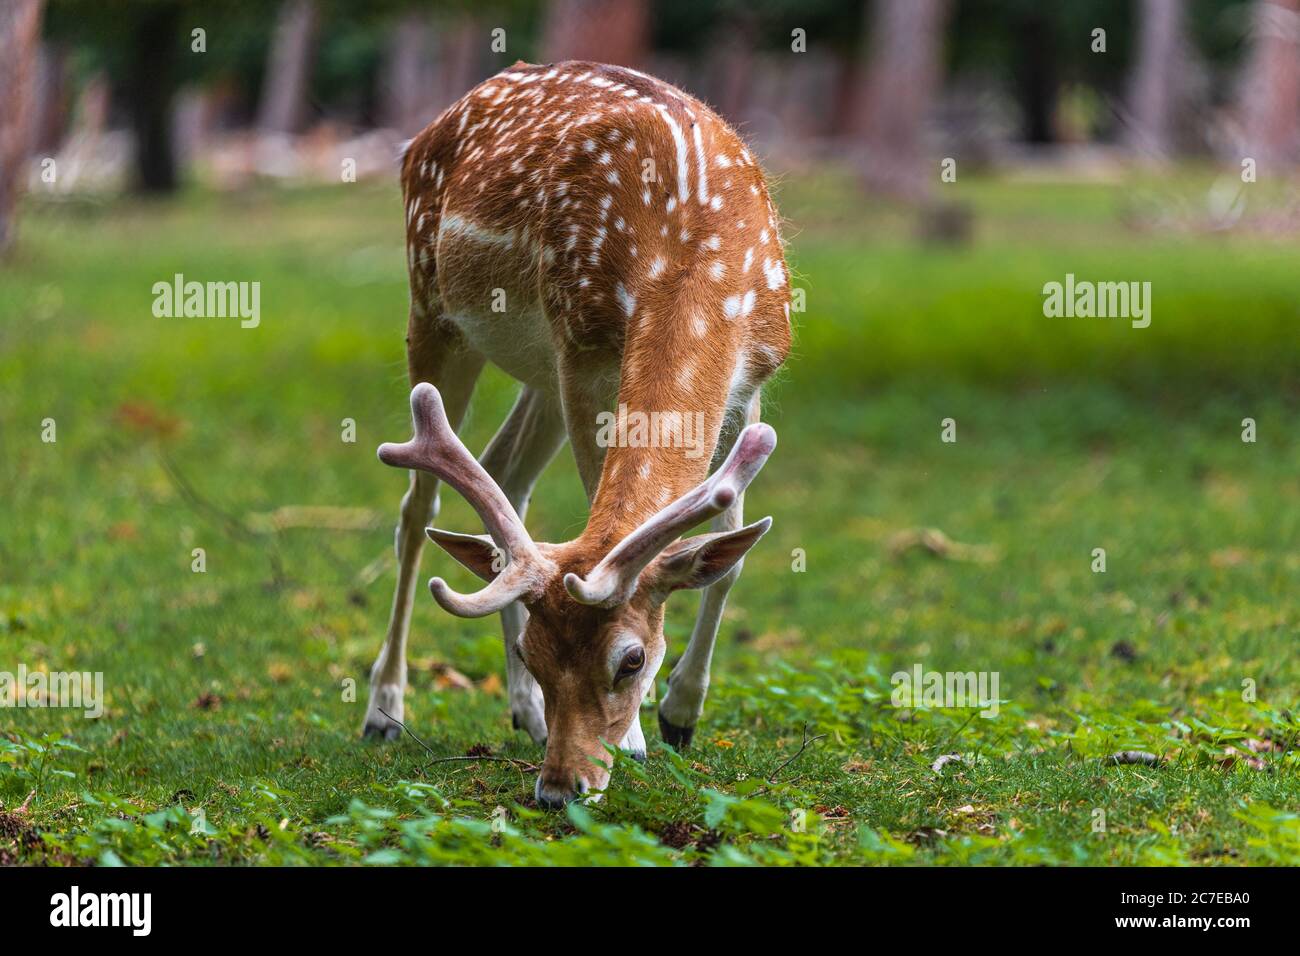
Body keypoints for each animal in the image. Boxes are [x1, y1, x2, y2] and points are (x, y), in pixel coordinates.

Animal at [363, 60, 792, 809]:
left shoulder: (751, 378)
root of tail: (424, 133)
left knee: (504, 478)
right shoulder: (584, 351)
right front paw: (643, 737)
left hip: (537, 367)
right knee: (418, 508)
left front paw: (682, 712)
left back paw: (522, 714)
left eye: (631, 660)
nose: (559, 789)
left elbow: (729, 553)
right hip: (433, 303)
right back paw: (385, 709)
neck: (691, 262)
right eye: (534, 654)